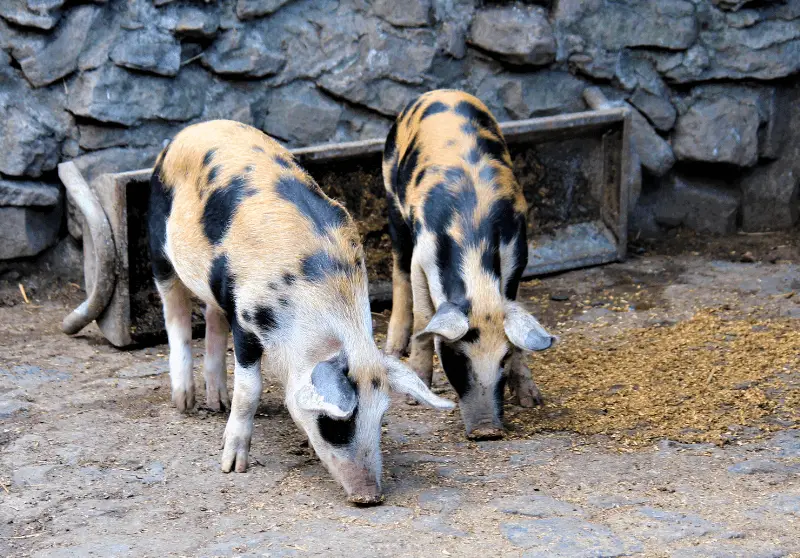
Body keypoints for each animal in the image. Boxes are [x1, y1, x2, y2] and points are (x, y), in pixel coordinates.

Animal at [148, 120, 454, 504]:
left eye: (381, 417)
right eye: (334, 424)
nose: (369, 497)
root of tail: (192, 130)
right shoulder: (245, 321)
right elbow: (250, 390)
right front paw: (233, 467)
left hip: (213, 286)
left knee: (213, 316)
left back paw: (216, 402)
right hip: (159, 245)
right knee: (175, 314)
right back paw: (184, 403)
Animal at [381, 90, 555, 440]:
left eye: (503, 359)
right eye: (457, 358)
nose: (487, 431)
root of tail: (440, 92)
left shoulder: (517, 255)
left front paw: (531, 401)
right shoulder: (423, 254)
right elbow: (424, 319)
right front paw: (415, 398)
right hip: (392, 197)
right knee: (399, 271)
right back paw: (392, 351)